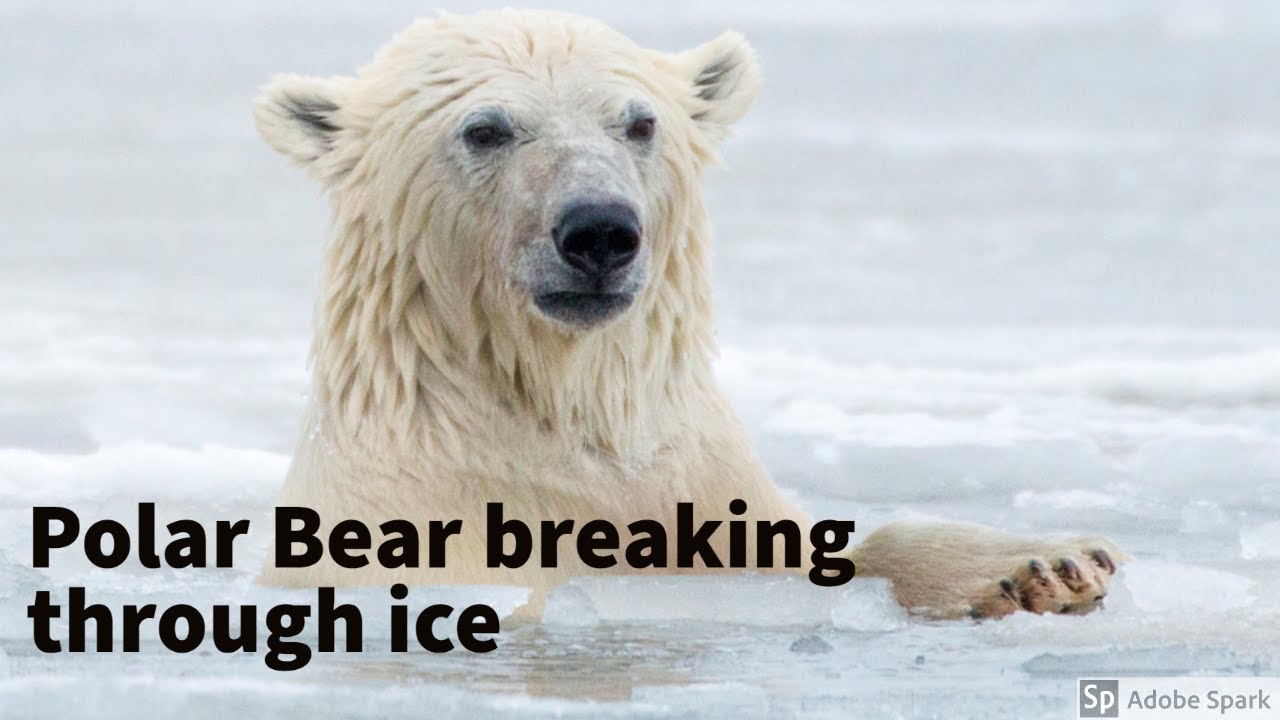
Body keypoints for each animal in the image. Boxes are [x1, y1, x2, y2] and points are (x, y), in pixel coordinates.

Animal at [253, 9, 1122, 620]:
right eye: (486, 128)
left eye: (639, 122)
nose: (600, 229)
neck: (560, 408)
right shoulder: (417, 521)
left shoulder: (697, 486)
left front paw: (1046, 565)